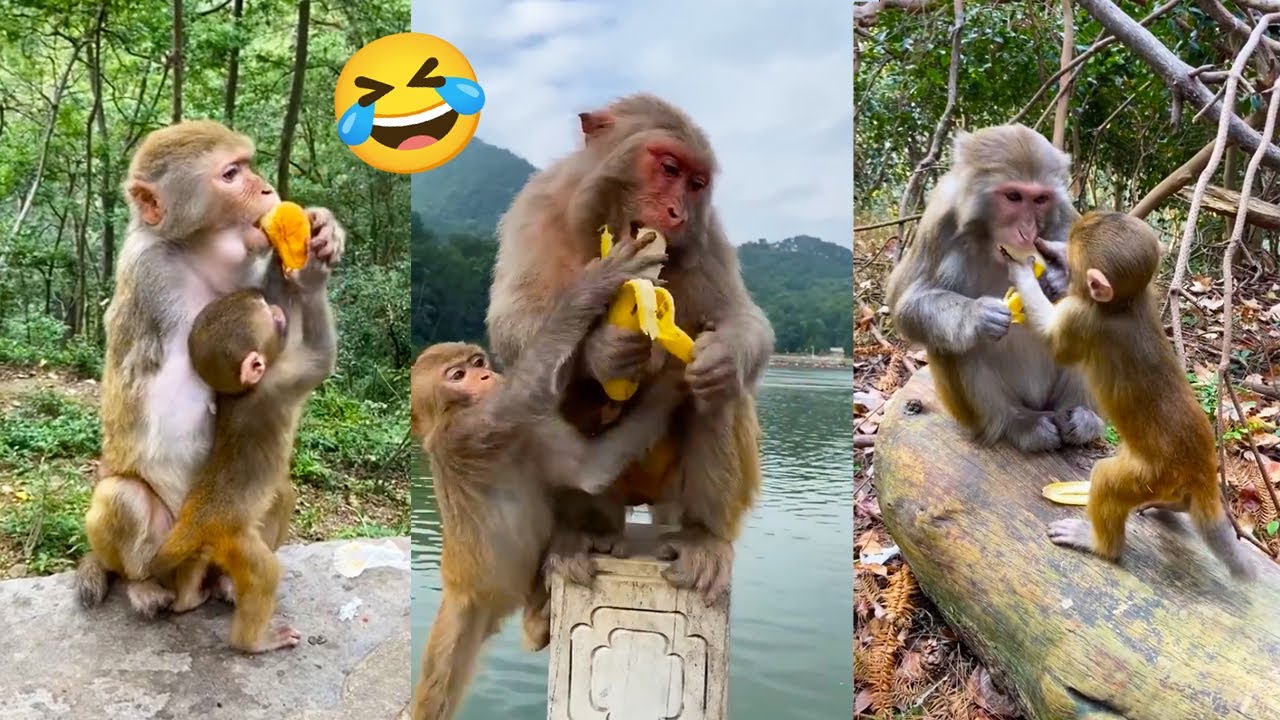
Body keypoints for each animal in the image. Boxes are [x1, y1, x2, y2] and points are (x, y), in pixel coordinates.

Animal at [146, 247, 336, 652]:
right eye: (271, 317)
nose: (276, 310)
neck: (242, 391)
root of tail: (199, 517)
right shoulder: (283, 380)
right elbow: (321, 358)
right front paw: (312, 277)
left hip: (202, 534)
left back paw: (187, 599)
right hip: (233, 538)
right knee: (264, 571)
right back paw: (252, 642)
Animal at [412, 230, 677, 720]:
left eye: (478, 364)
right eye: (458, 375)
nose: (485, 377)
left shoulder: (528, 430)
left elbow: (588, 469)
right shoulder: (476, 430)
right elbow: (535, 387)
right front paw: (598, 283)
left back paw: (541, 616)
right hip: (467, 609)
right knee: (434, 695)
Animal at [486, 94, 773, 604]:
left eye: (696, 184)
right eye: (669, 168)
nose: (678, 212)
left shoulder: (709, 236)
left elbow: (742, 319)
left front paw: (722, 355)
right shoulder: (536, 207)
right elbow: (510, 323)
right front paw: (604, 349)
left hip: (669, 490)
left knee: (719, 398)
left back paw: (702, 537)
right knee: (542, 391)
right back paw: (583, 533)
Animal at [885, 124, 1104, 453]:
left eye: (1040, 199)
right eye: (1013, 196)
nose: (1027, 231)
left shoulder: (1065, 215)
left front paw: (1060, 275)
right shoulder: (939, 222)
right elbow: (905, 303)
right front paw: (977, 315)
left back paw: (1082, 417)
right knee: (949, 341)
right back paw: (1017, 423)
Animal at [1007, 211, 1256, 579]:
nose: (1052, 249)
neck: (1125, 304)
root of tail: (1202, 467)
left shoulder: (1082, 318)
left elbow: (1056, 345)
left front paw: (1025, 269)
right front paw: (1046, 255)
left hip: (1153, 474)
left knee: (1108, 481)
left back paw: (1101, 545)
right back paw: (1175, 504)